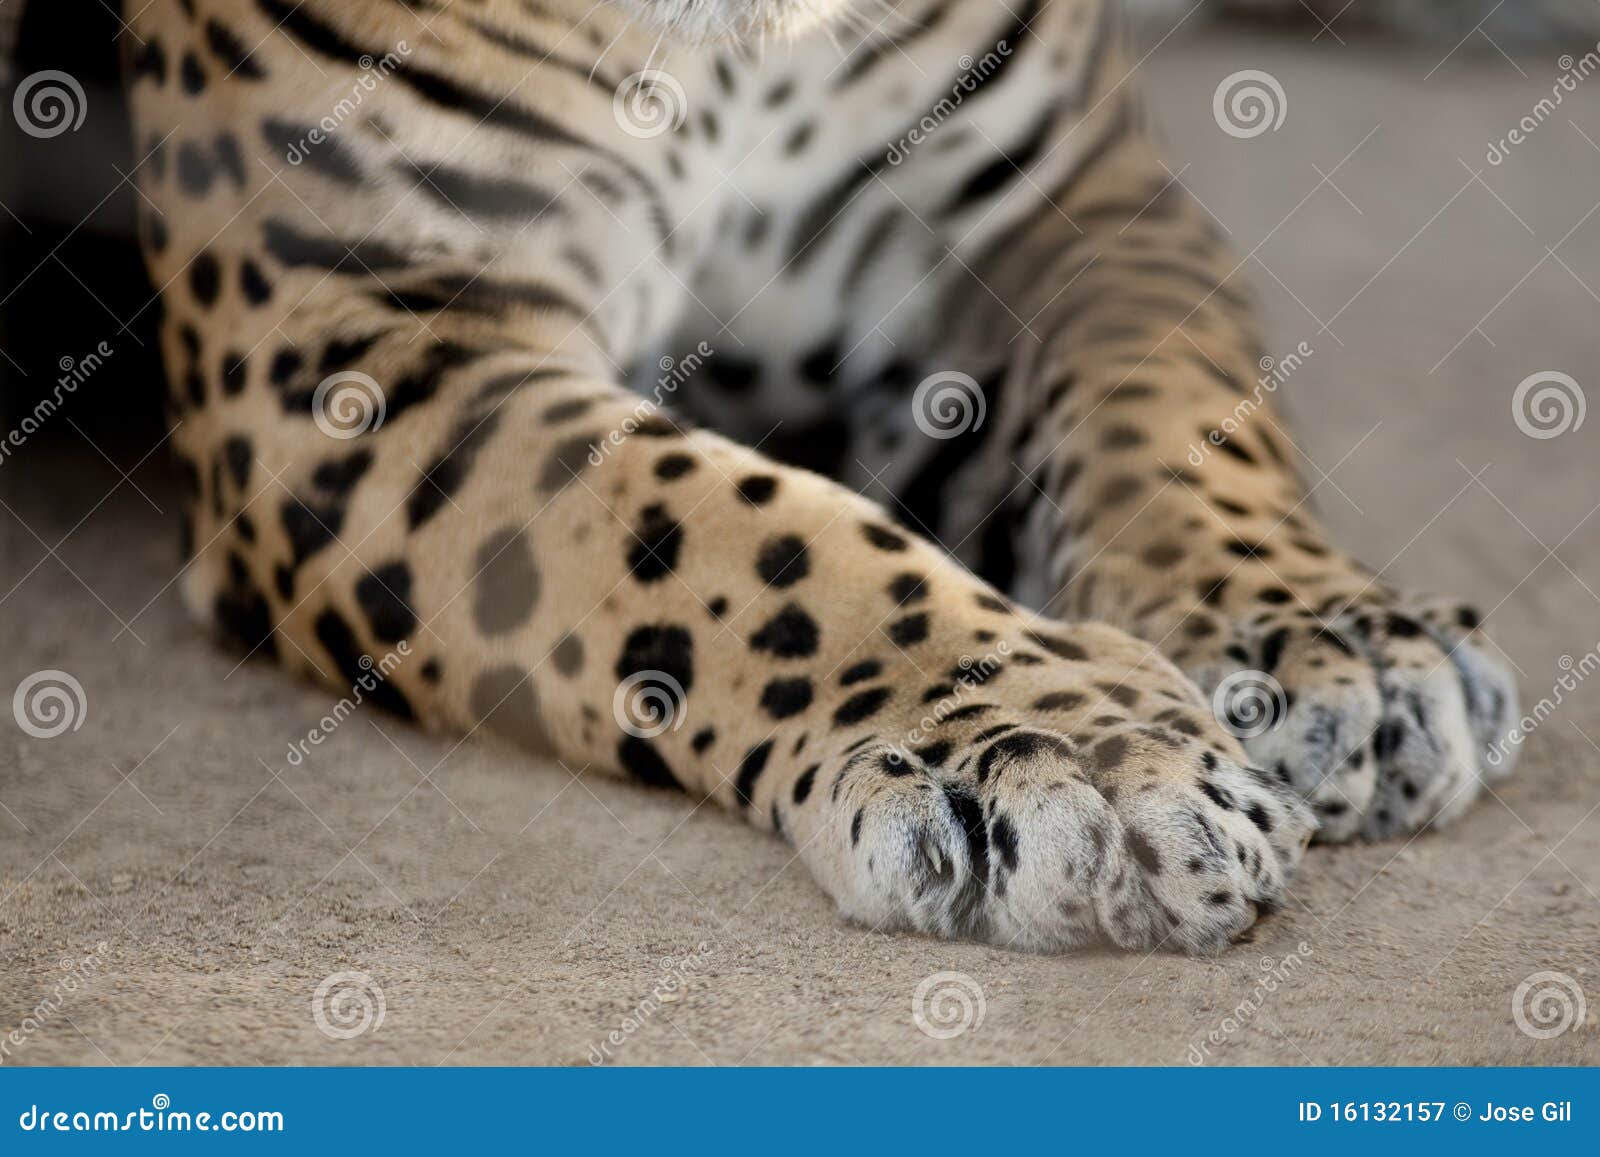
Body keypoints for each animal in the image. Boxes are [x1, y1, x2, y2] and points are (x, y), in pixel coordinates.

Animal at [104, 0, 1519, 955]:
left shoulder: (1077, 205)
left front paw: (1333, 644)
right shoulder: (340, 344)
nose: (1330, 648)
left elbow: (1167, 418)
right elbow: (733, 532)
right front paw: (1055, 750)